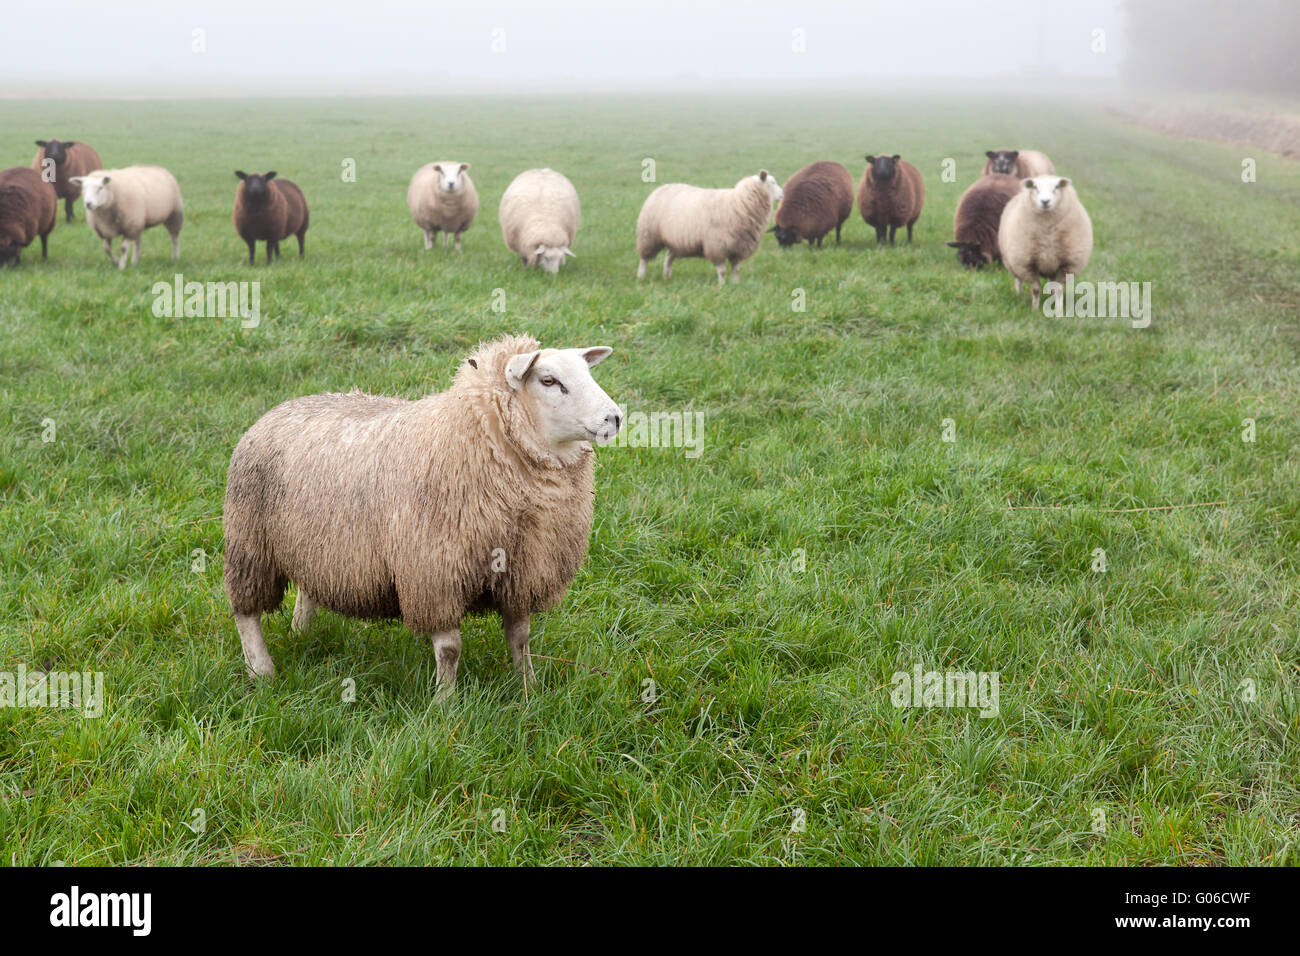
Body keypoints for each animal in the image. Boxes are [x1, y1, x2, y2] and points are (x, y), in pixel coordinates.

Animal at [222, 333, 622, 699]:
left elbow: (520, 638)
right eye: (549, 381)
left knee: (308, 585)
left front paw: (528, 688)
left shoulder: (523, 571)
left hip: (316, 540)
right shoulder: (434, 572)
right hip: (250, 541)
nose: (615, 418)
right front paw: (445, 703)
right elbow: (450, 649)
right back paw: (261, 671)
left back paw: (300, 631)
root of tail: (280, 407)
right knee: (246, 614)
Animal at [635, 169, 783, 284]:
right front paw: (722, 286)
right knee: (644, 259)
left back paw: (666, 277)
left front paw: (735, 283)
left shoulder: (738, 247)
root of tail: (660, 188)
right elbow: (722, 271)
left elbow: (736, 269)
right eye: (772, 182)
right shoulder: (717, 246)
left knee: (668, 258)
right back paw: (641, 277)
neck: (740, 202)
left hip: (676, 241)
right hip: (648, 235)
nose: (782, 194)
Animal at [997, 176, 1093, 309]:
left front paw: (1058, 310)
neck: (1048, 233)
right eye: (1035, 187)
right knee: (1018, 280)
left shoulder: (1065, 264)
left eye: (1056, 187)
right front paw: (1034, 309)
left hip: (1051, 266)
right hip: (1012, 263)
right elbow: (1036, 289)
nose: (1045, 201)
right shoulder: (1028, 264)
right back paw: (1019, 295)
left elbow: (1058, 290)